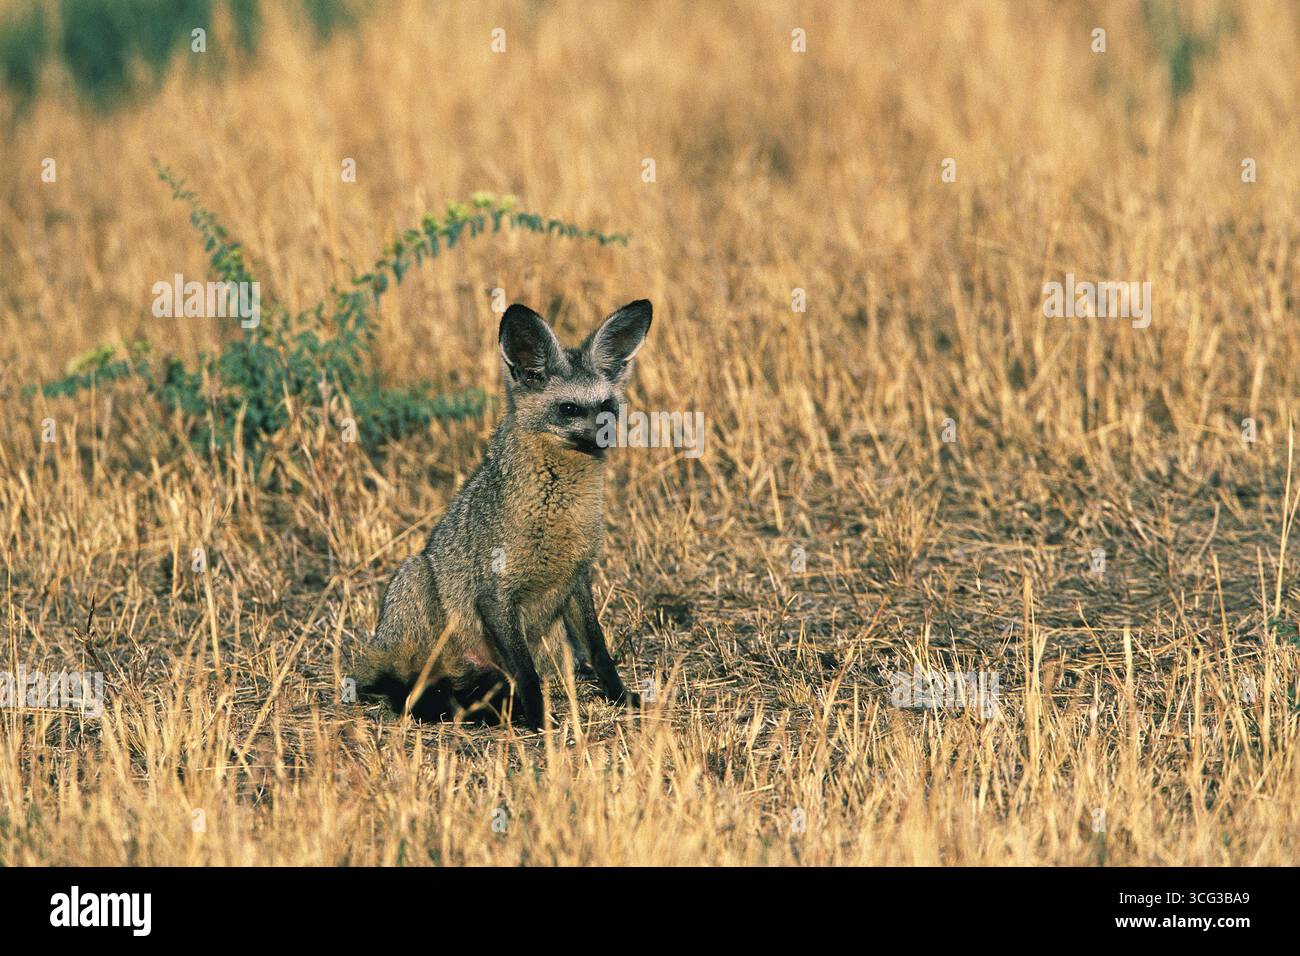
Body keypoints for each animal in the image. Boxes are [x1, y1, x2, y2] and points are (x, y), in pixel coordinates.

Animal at [355, 298, 652, 729]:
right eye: (568, 408)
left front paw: (621, 697)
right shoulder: (495, 593)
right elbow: (527, 675)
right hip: (415, 577)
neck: (555, 512)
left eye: (608, 406)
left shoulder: (577, 579)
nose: (607, 437)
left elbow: (599, 652)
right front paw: (540, 721)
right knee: (399, 685)